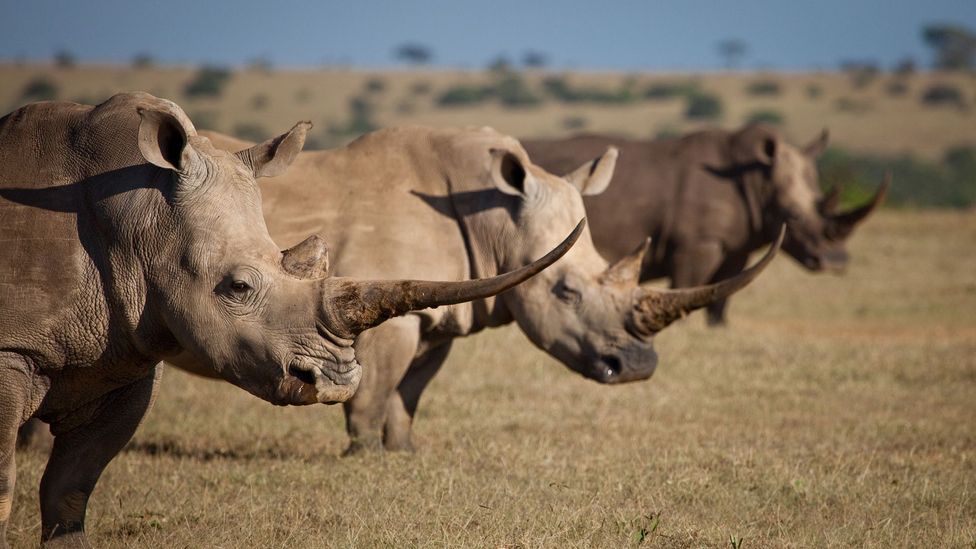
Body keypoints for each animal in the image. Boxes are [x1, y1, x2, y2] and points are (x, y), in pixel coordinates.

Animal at [0, 94, 579, 548]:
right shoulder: (12, 352)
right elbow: (8, 486)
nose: (337, 381)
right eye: (237, 287)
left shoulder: (131, 357)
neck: (140, 217)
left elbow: (70, 490)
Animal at [201, 125, 782, 455]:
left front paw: (404, 453)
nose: (638, 367)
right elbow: (373, 393)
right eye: (565, 292)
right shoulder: (389, 314)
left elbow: (408, 393)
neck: (495, 220)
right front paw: (363, 457)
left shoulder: (439, 313)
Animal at [523, 123, 888, 325]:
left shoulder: (736, 245)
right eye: (794, 218)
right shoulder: (698, 243)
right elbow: (688, 284)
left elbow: (721, 297)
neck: (757, 178)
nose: (835, 262)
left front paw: (719, 327)